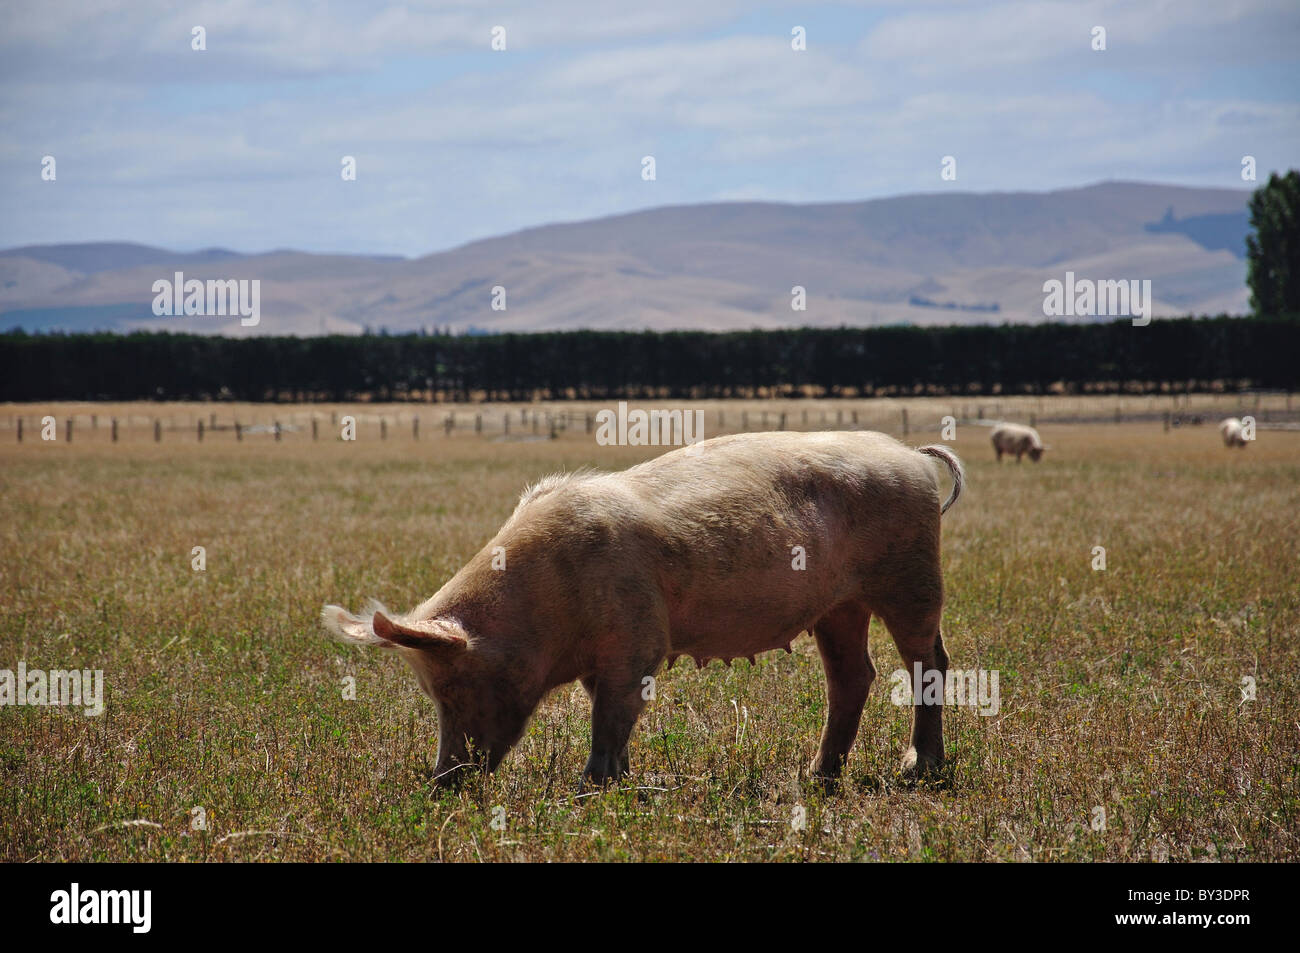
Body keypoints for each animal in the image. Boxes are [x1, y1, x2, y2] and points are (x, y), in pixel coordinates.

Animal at [323, 430, 964, 789]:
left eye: (457, 688)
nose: (442, 782)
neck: (543, 605)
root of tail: (911, 455)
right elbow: (611, 712)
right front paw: (623, 781)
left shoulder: (636, 636)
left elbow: (612, 714)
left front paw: (592, 790)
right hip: (838, 606)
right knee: (853, 675)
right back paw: (815, 776)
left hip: (912, 575)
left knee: (928, 662)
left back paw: (918, 770)